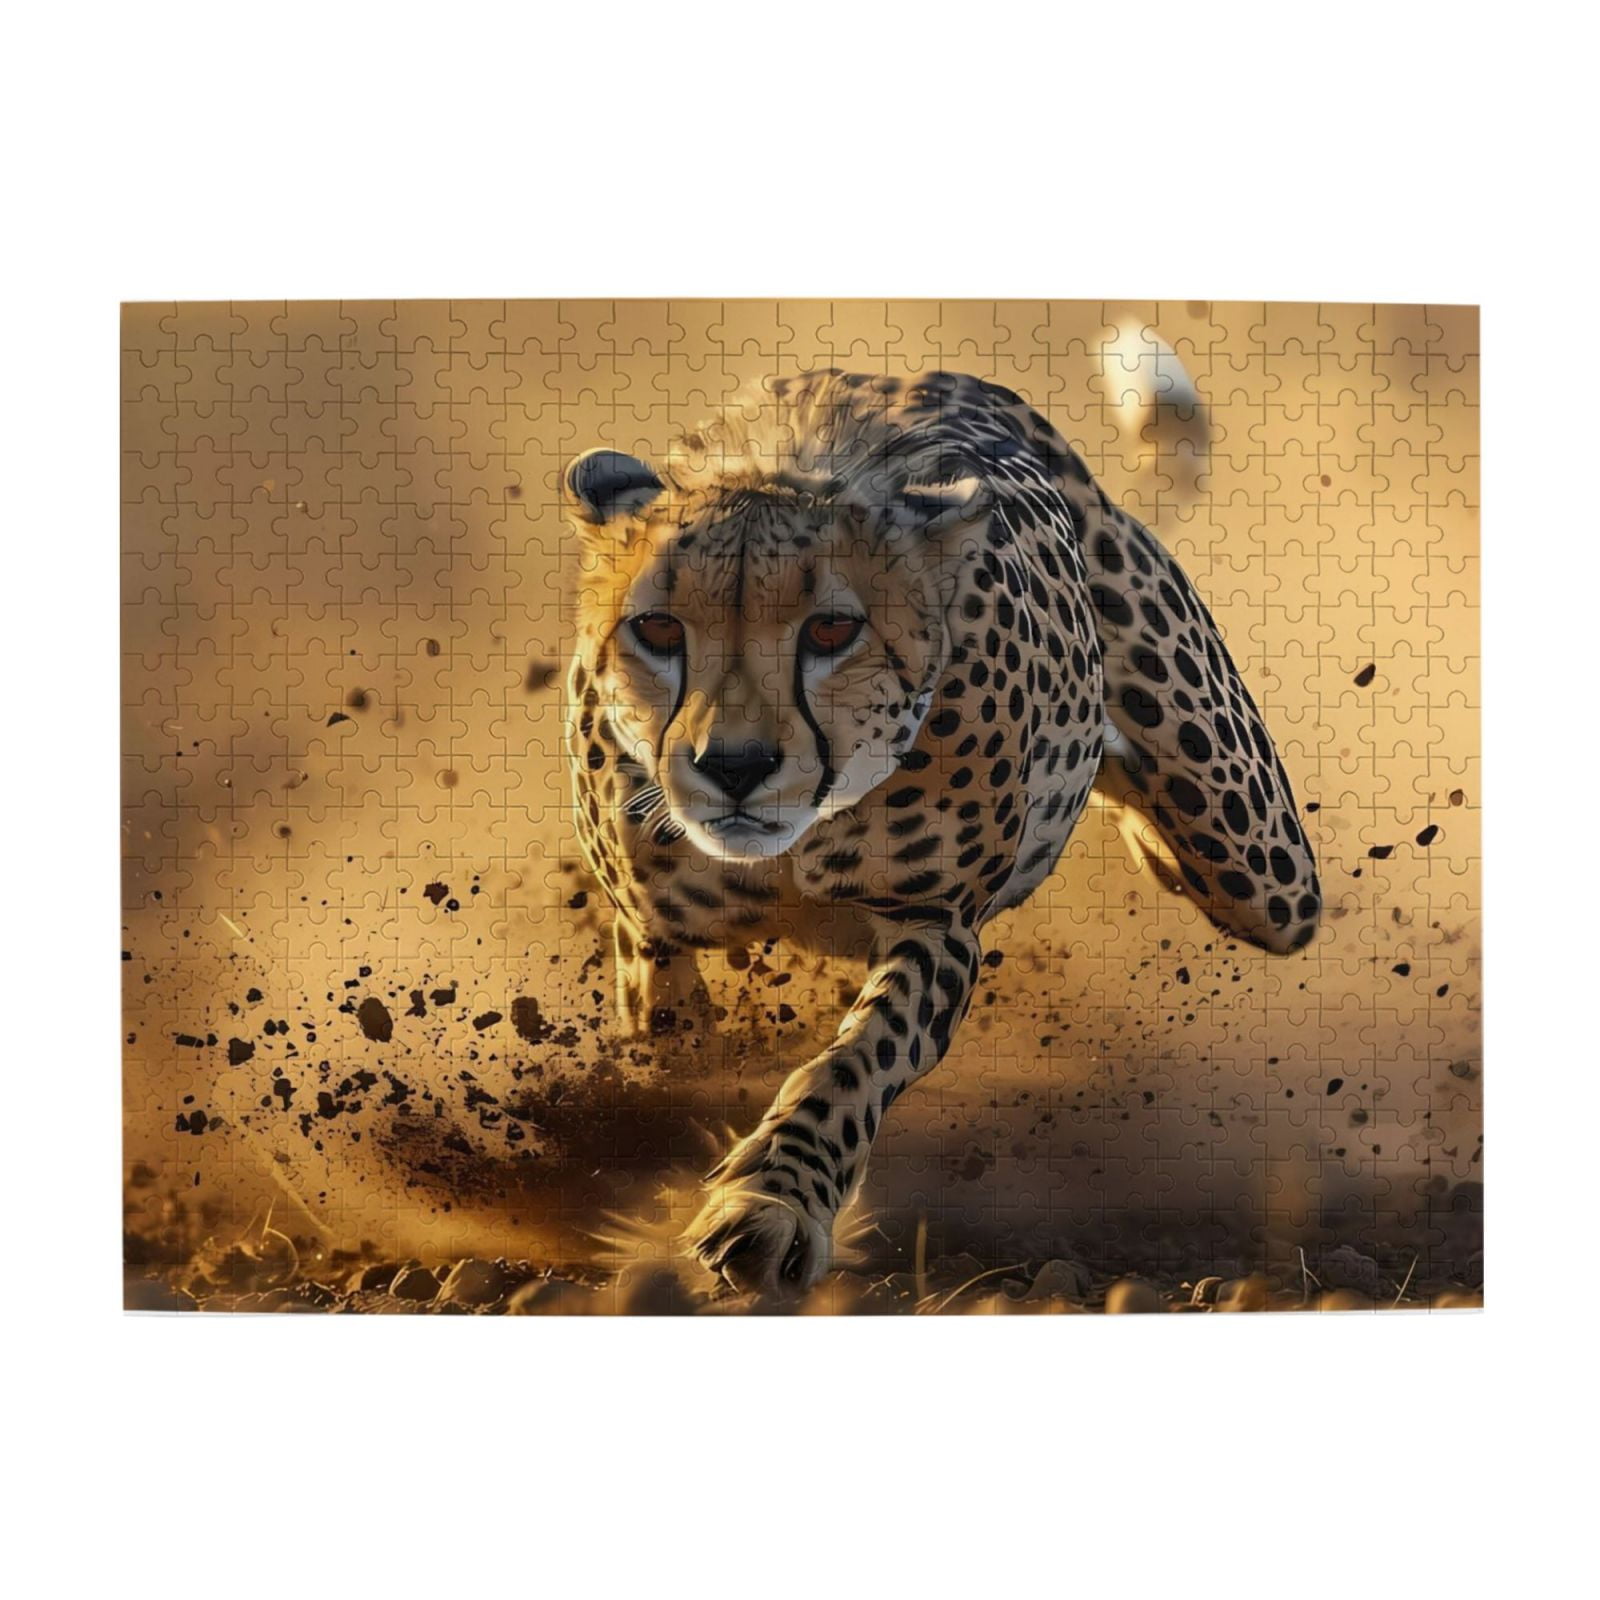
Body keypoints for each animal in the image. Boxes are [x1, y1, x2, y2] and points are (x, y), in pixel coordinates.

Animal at [561, 369, 1320, 1296]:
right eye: (659, 629)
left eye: (832, 629)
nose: (734, 765)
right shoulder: (650, 927)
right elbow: (673, 1039)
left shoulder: (938, 926)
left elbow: (852, 1062)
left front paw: (769, 1202)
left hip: (1264, 870)